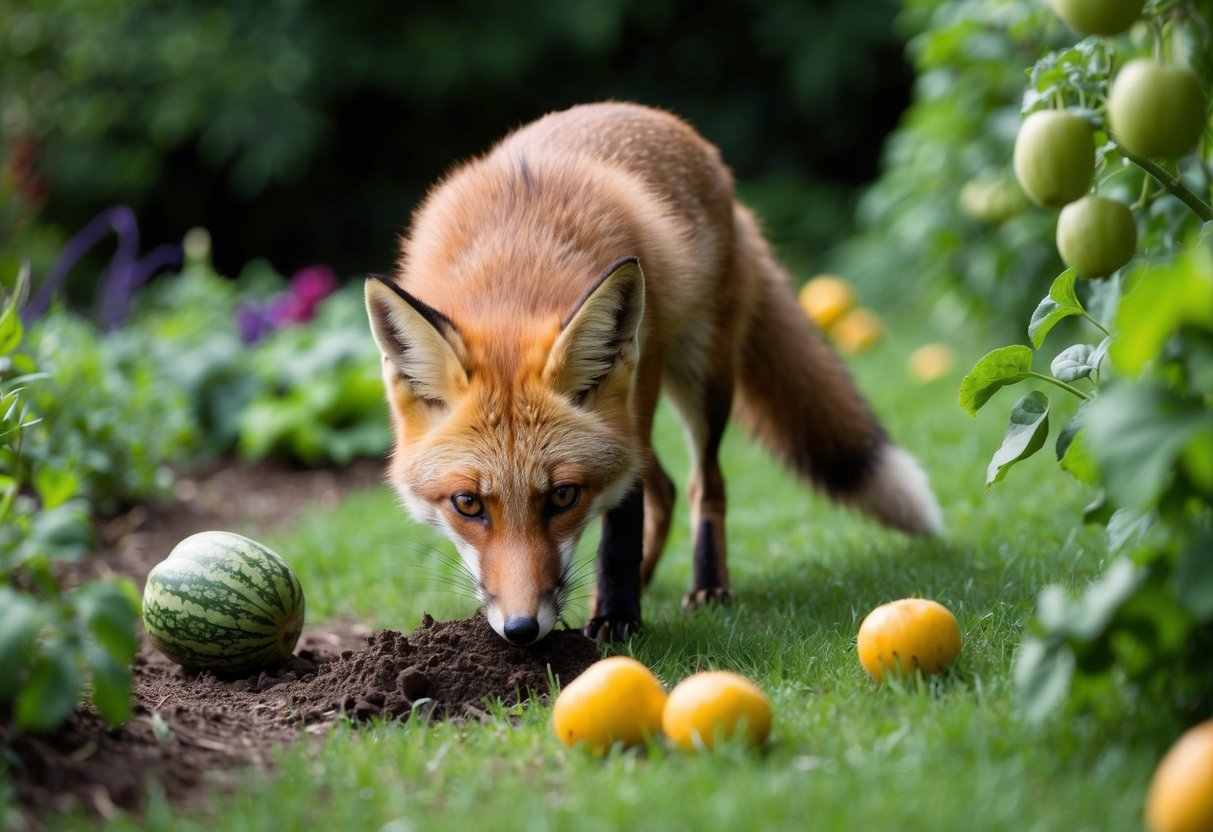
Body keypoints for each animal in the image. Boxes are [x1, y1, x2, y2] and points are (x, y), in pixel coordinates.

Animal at [365, 101, 943, 646]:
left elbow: (622, 525)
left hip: (699, 379)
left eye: (563, 496)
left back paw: (707, 586)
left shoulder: (636, 392)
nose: (523, 630)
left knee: (702, 485)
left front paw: (617, 617)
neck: (515, 264)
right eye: (467, 504)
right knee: (662, 486)